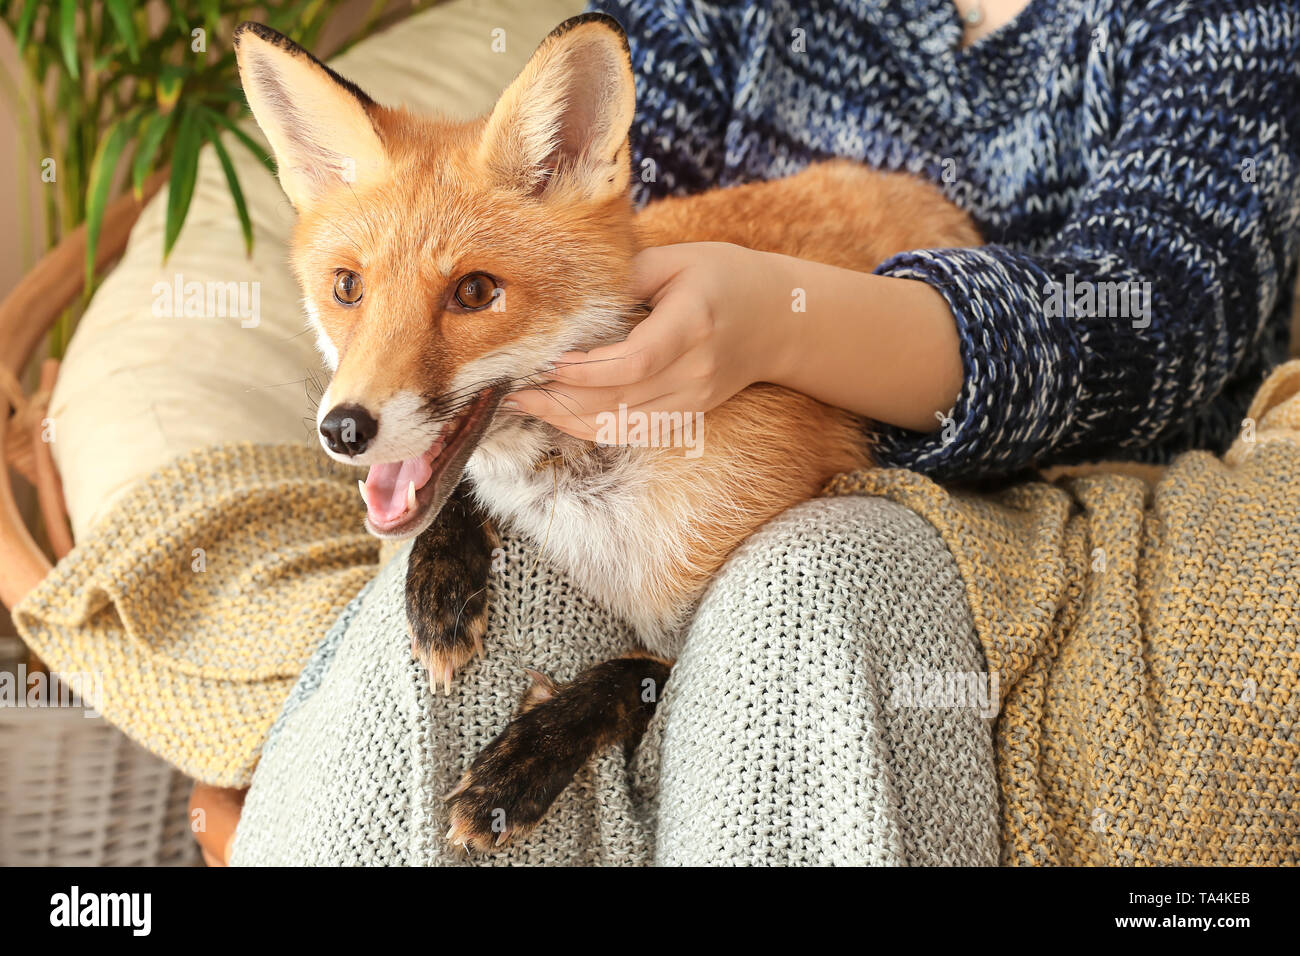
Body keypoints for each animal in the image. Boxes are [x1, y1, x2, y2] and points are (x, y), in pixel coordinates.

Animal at [235, 13, 980, 852]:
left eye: (474, 293)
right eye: (347, 288)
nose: (344, 430)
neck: (578, 494)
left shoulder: (692, 610)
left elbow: (630, 676)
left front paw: (521, 766)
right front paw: (442, 582)